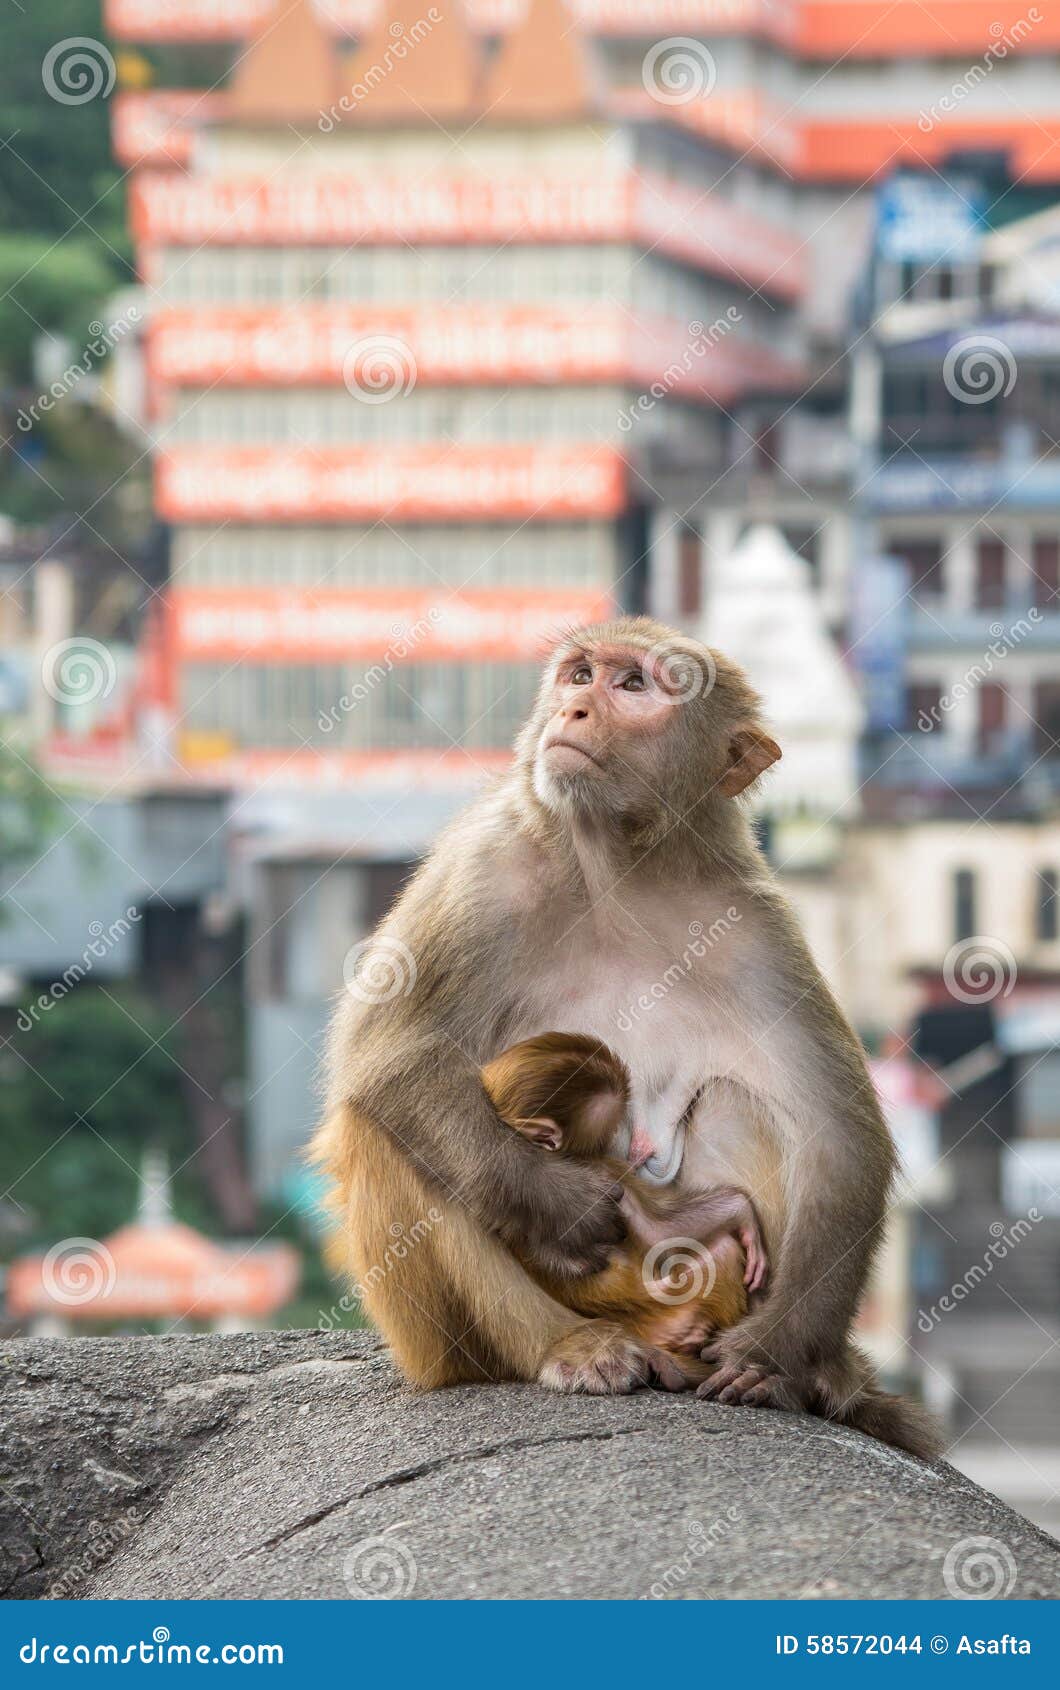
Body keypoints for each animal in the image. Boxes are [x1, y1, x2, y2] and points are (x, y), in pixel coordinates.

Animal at [479, 1031, 767, 1359]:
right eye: (610, 1128)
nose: (634, 1151)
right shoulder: (607, 1173)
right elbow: (660, 1233)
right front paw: (744, 1214)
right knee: (722, 1250)